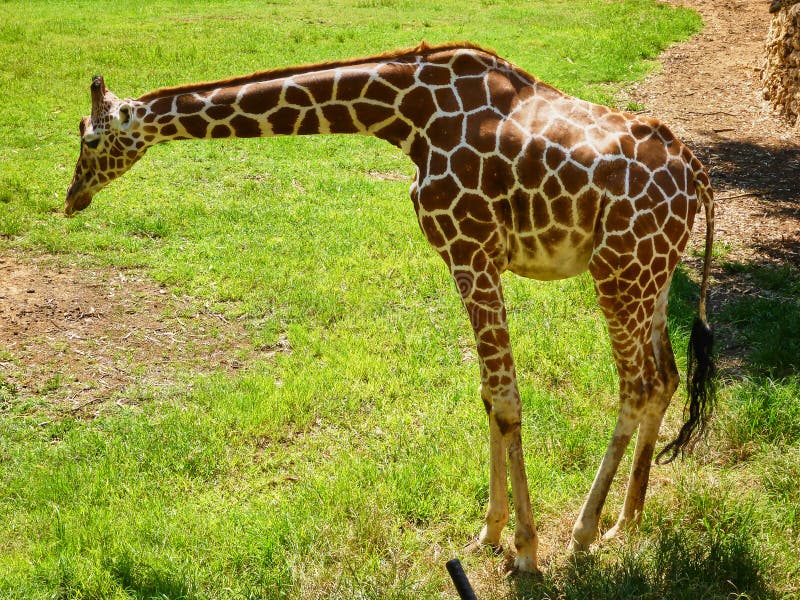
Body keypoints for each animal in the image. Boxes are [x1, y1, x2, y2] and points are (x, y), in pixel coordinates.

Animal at [65, 42, 716, 573]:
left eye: (90, 139)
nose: (71, 197)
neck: (407, 116)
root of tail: (698, 176)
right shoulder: (470, 257)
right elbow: (488, 396)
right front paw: (488, 534)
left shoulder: (471, 249)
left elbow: (506, 401)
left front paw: (527, 551)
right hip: (655, 276)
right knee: (664, 378)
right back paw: (626, 523)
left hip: (619, 273)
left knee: (636, 384)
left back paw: (583, 534)